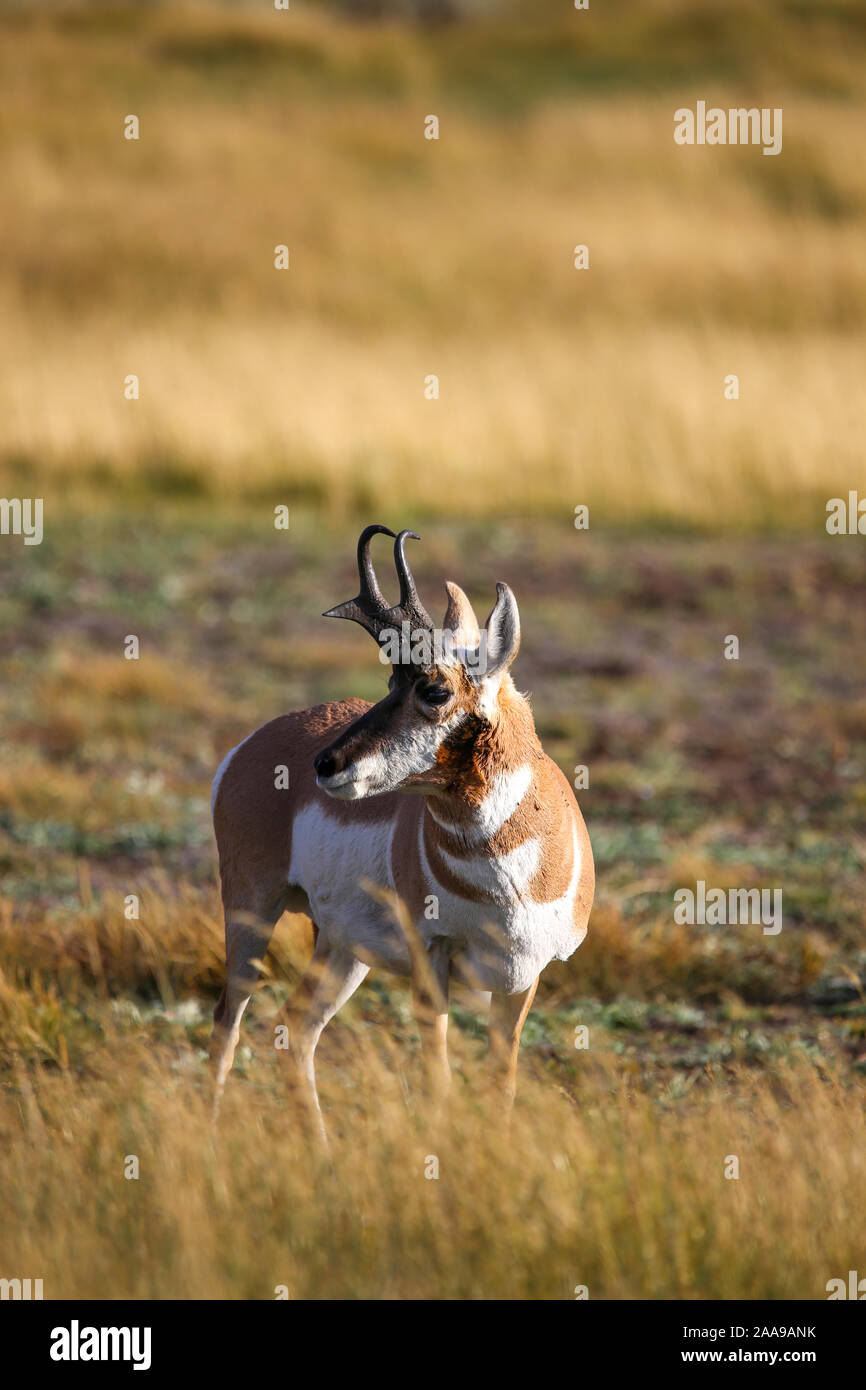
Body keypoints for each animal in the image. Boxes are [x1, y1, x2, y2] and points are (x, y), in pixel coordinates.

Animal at [209, 525, 593, 1132]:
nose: (325, 764)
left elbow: (501, 1086)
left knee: (296, 1026)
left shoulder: (522, 980)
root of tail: (255, 742)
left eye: (434, 690)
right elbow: (438, 1082)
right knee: (228, 1022)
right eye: (391, 677)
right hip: (252, 913)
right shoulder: (429, 960)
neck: (505, 885)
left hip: (340, 946)